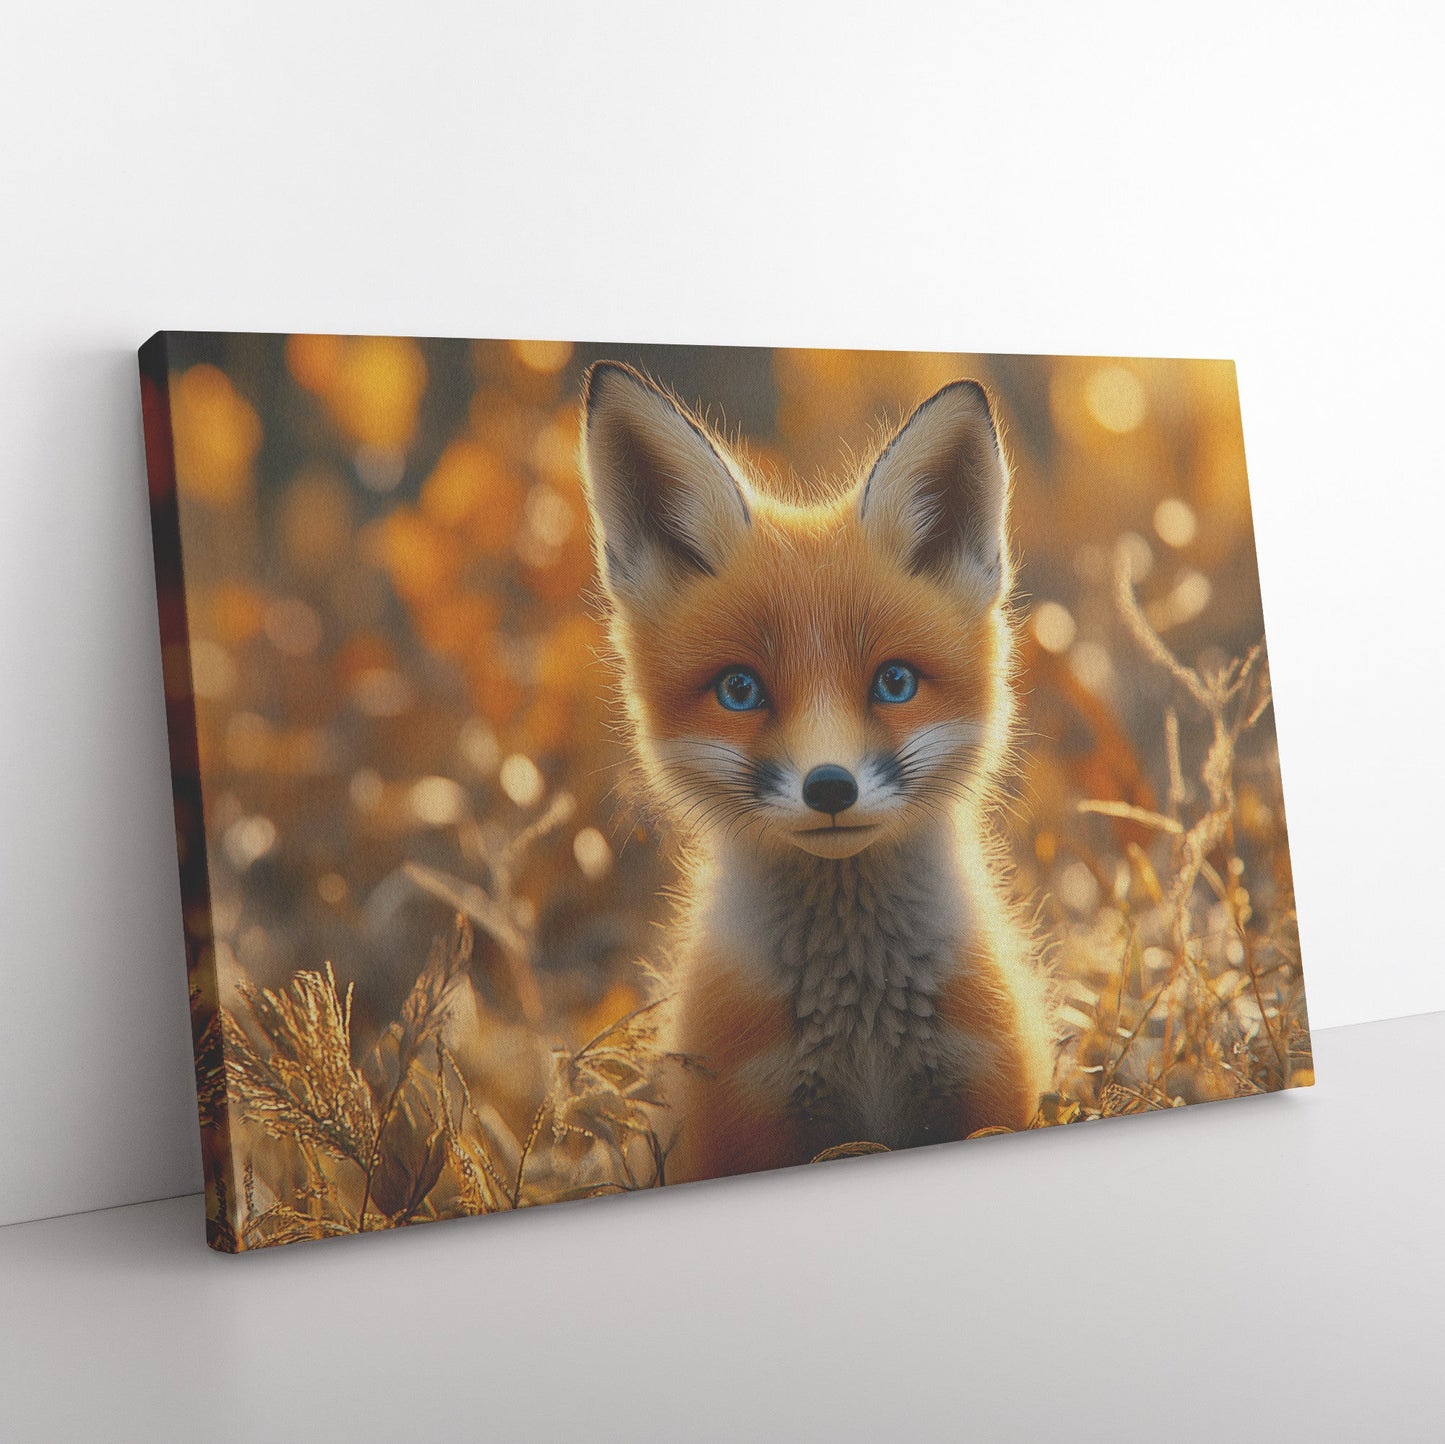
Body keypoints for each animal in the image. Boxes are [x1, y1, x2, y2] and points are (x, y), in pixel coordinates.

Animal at [579, 361, 1056, 1184]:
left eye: (894, 682)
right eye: (740, 691)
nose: (829, 787)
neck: (860, 1023)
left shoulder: (987, 1089)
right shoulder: (743, 1120)